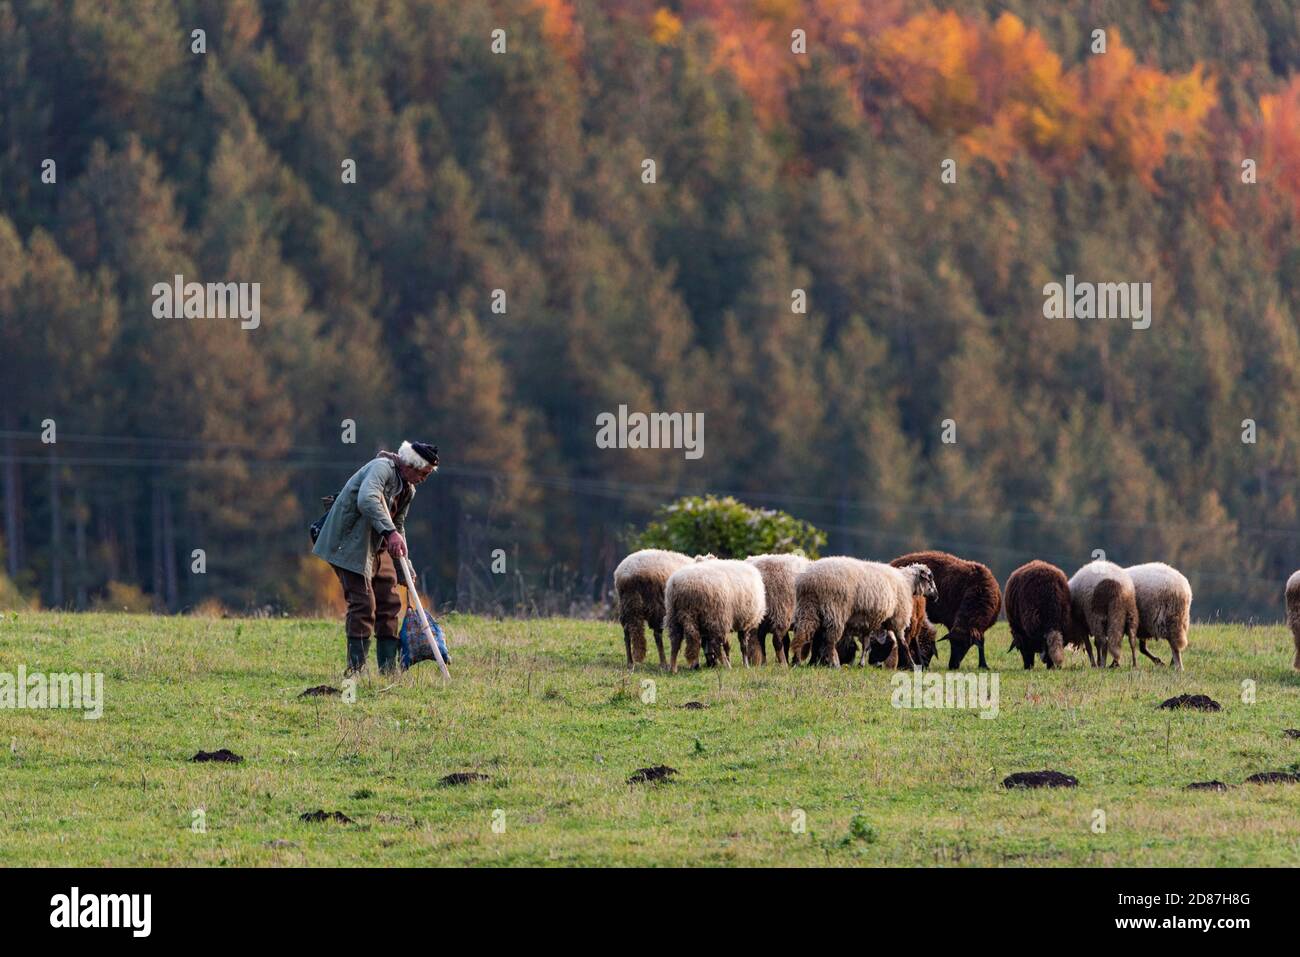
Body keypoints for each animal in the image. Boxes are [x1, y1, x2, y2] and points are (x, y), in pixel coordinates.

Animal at [789, 558, 936, 668]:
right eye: (930, 578)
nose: (936, 596)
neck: (907, 583)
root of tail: (810, 580)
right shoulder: (898, 619)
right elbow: (904, 644)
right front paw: (913, 665)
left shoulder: (868, 621)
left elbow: (866, 645)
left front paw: (862, 664)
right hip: (835, 611)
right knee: (830, 640)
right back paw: (834, 663)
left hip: (808, 607)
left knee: (803, 632)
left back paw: (797, 660)